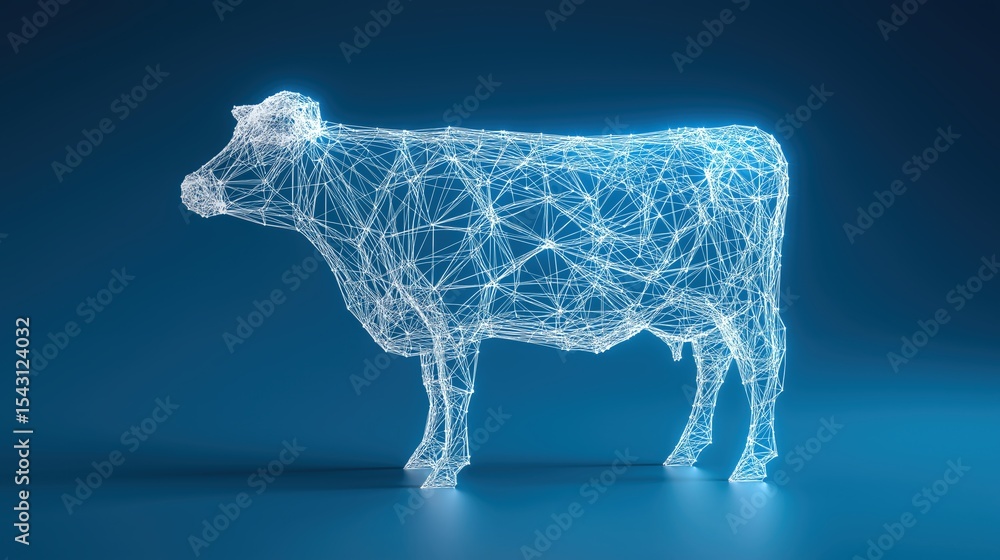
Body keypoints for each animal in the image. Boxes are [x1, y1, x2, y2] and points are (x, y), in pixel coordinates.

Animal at [181, 91, 788, 488]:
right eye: (238, 133)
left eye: (272, 141)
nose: (193, 186)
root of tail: (748, 137)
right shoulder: (425, 319)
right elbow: (432, 390)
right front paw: (424, 456)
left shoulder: (455, 313)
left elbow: (455, 391)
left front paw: (447, 470)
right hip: (697, 308)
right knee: (713, 366)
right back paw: (685, 453)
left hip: (745, 298)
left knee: (763, 364)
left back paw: (752, 464)